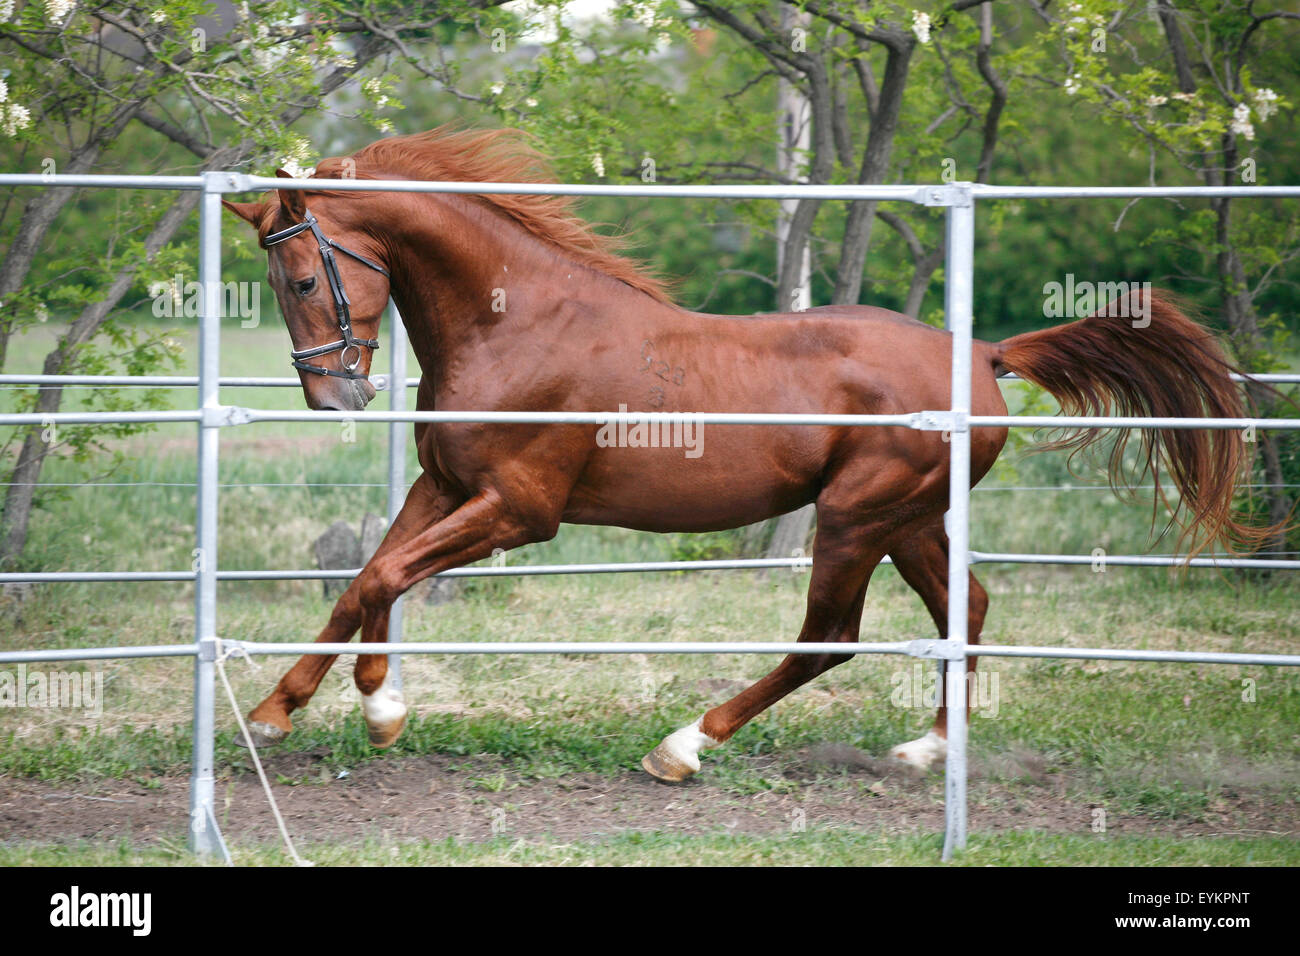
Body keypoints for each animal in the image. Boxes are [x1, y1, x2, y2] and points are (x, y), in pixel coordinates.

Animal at [222, 127, 1264, 780]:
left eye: (303, 275)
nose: (334, 394)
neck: (516, 323)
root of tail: (984, 353)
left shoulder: (519, 509)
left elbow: (382, 578)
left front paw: (369, 711)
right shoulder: (444, 487)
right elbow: (367, 580)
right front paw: (300, 709)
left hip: (856, 516)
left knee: (830, 637)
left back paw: (685, 745)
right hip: (910, 520)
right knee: (962, 610)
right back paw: (925, 752)